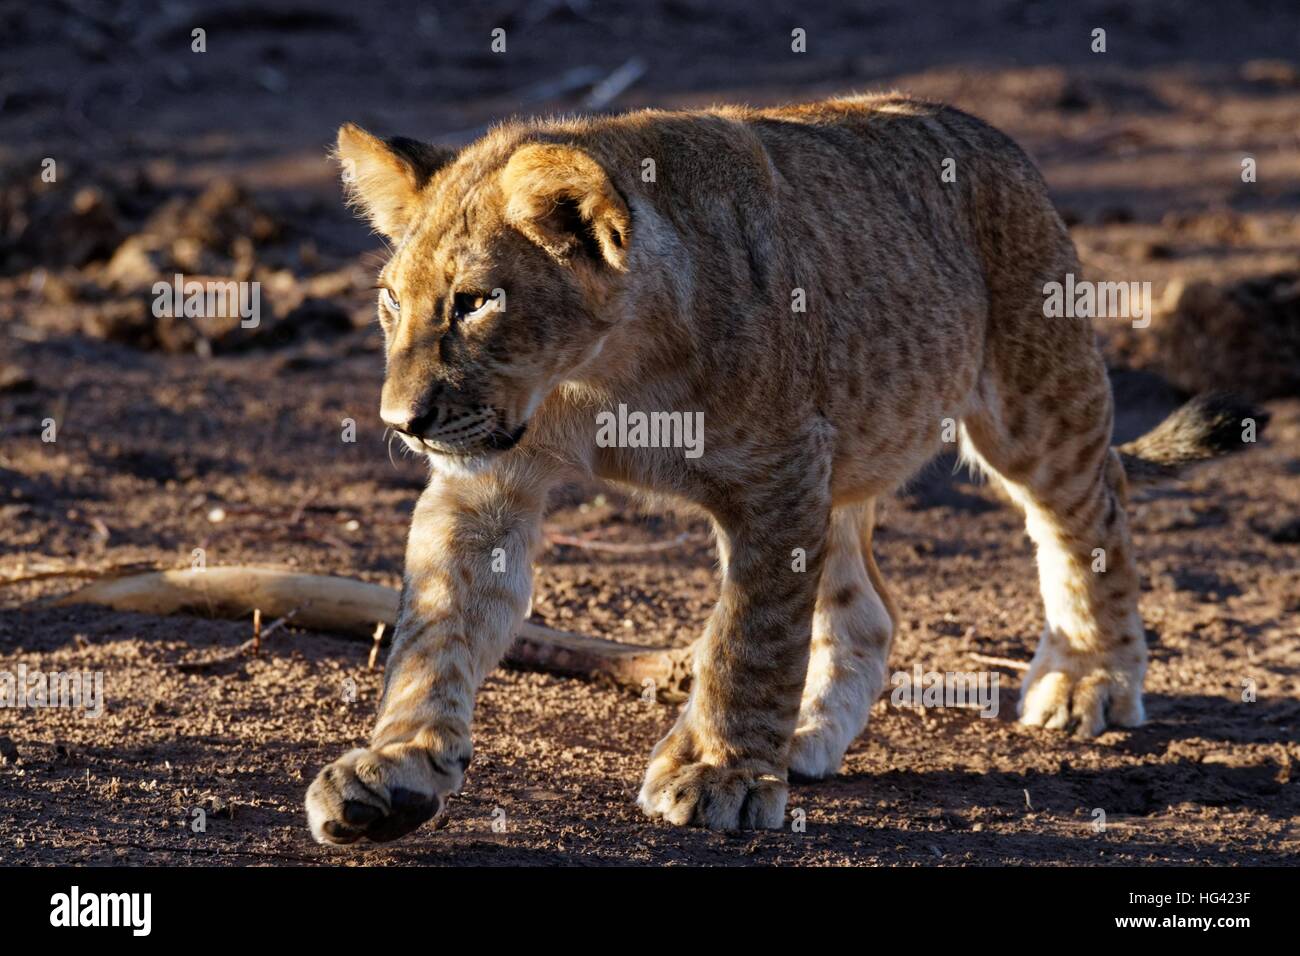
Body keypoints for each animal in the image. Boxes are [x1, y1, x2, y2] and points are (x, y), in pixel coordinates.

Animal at [305, 94, 1261, 843]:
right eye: (390, 302)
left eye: (476, 302)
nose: (400, 422)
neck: (594, 376)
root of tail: (988, 133)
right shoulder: (488, 480)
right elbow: (438, 630)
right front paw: (395, 766)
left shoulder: (775, 478)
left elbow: (751, 640)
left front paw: (723, 775)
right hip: (842, 460)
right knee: (868, 611)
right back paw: (805, 732)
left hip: (1035, 403)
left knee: (1092, 513)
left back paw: (1088, 678)